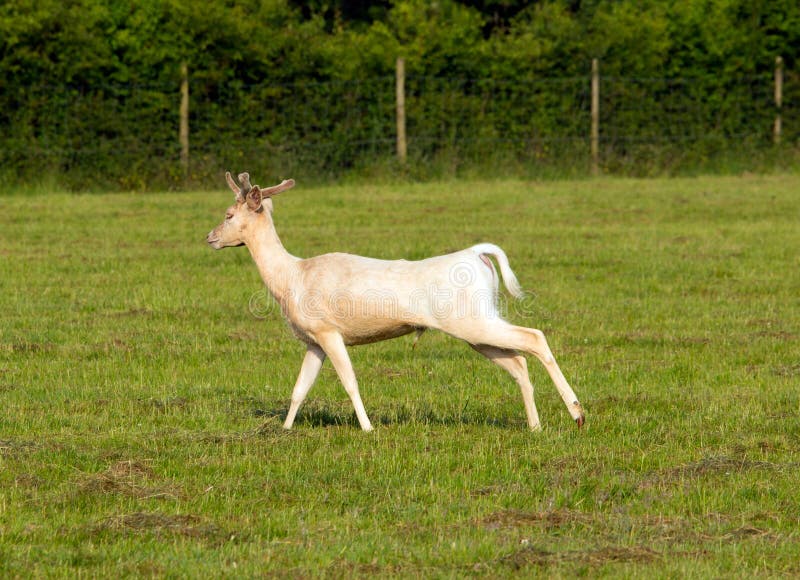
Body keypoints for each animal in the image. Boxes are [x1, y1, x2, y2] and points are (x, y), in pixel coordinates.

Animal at [206, 172, 585, 432]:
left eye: (228, 214)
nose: (209, 237)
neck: (292, 278)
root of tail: (478, 254)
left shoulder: (329, 330)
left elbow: (350, 381)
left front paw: (367, 427)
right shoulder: (312, 340)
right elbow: (300, 388)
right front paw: (285, 428)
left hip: (471, 318)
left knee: (534, 336)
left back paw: (577, 413)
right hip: (476, 326)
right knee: (519, 361)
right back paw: (535, 426)